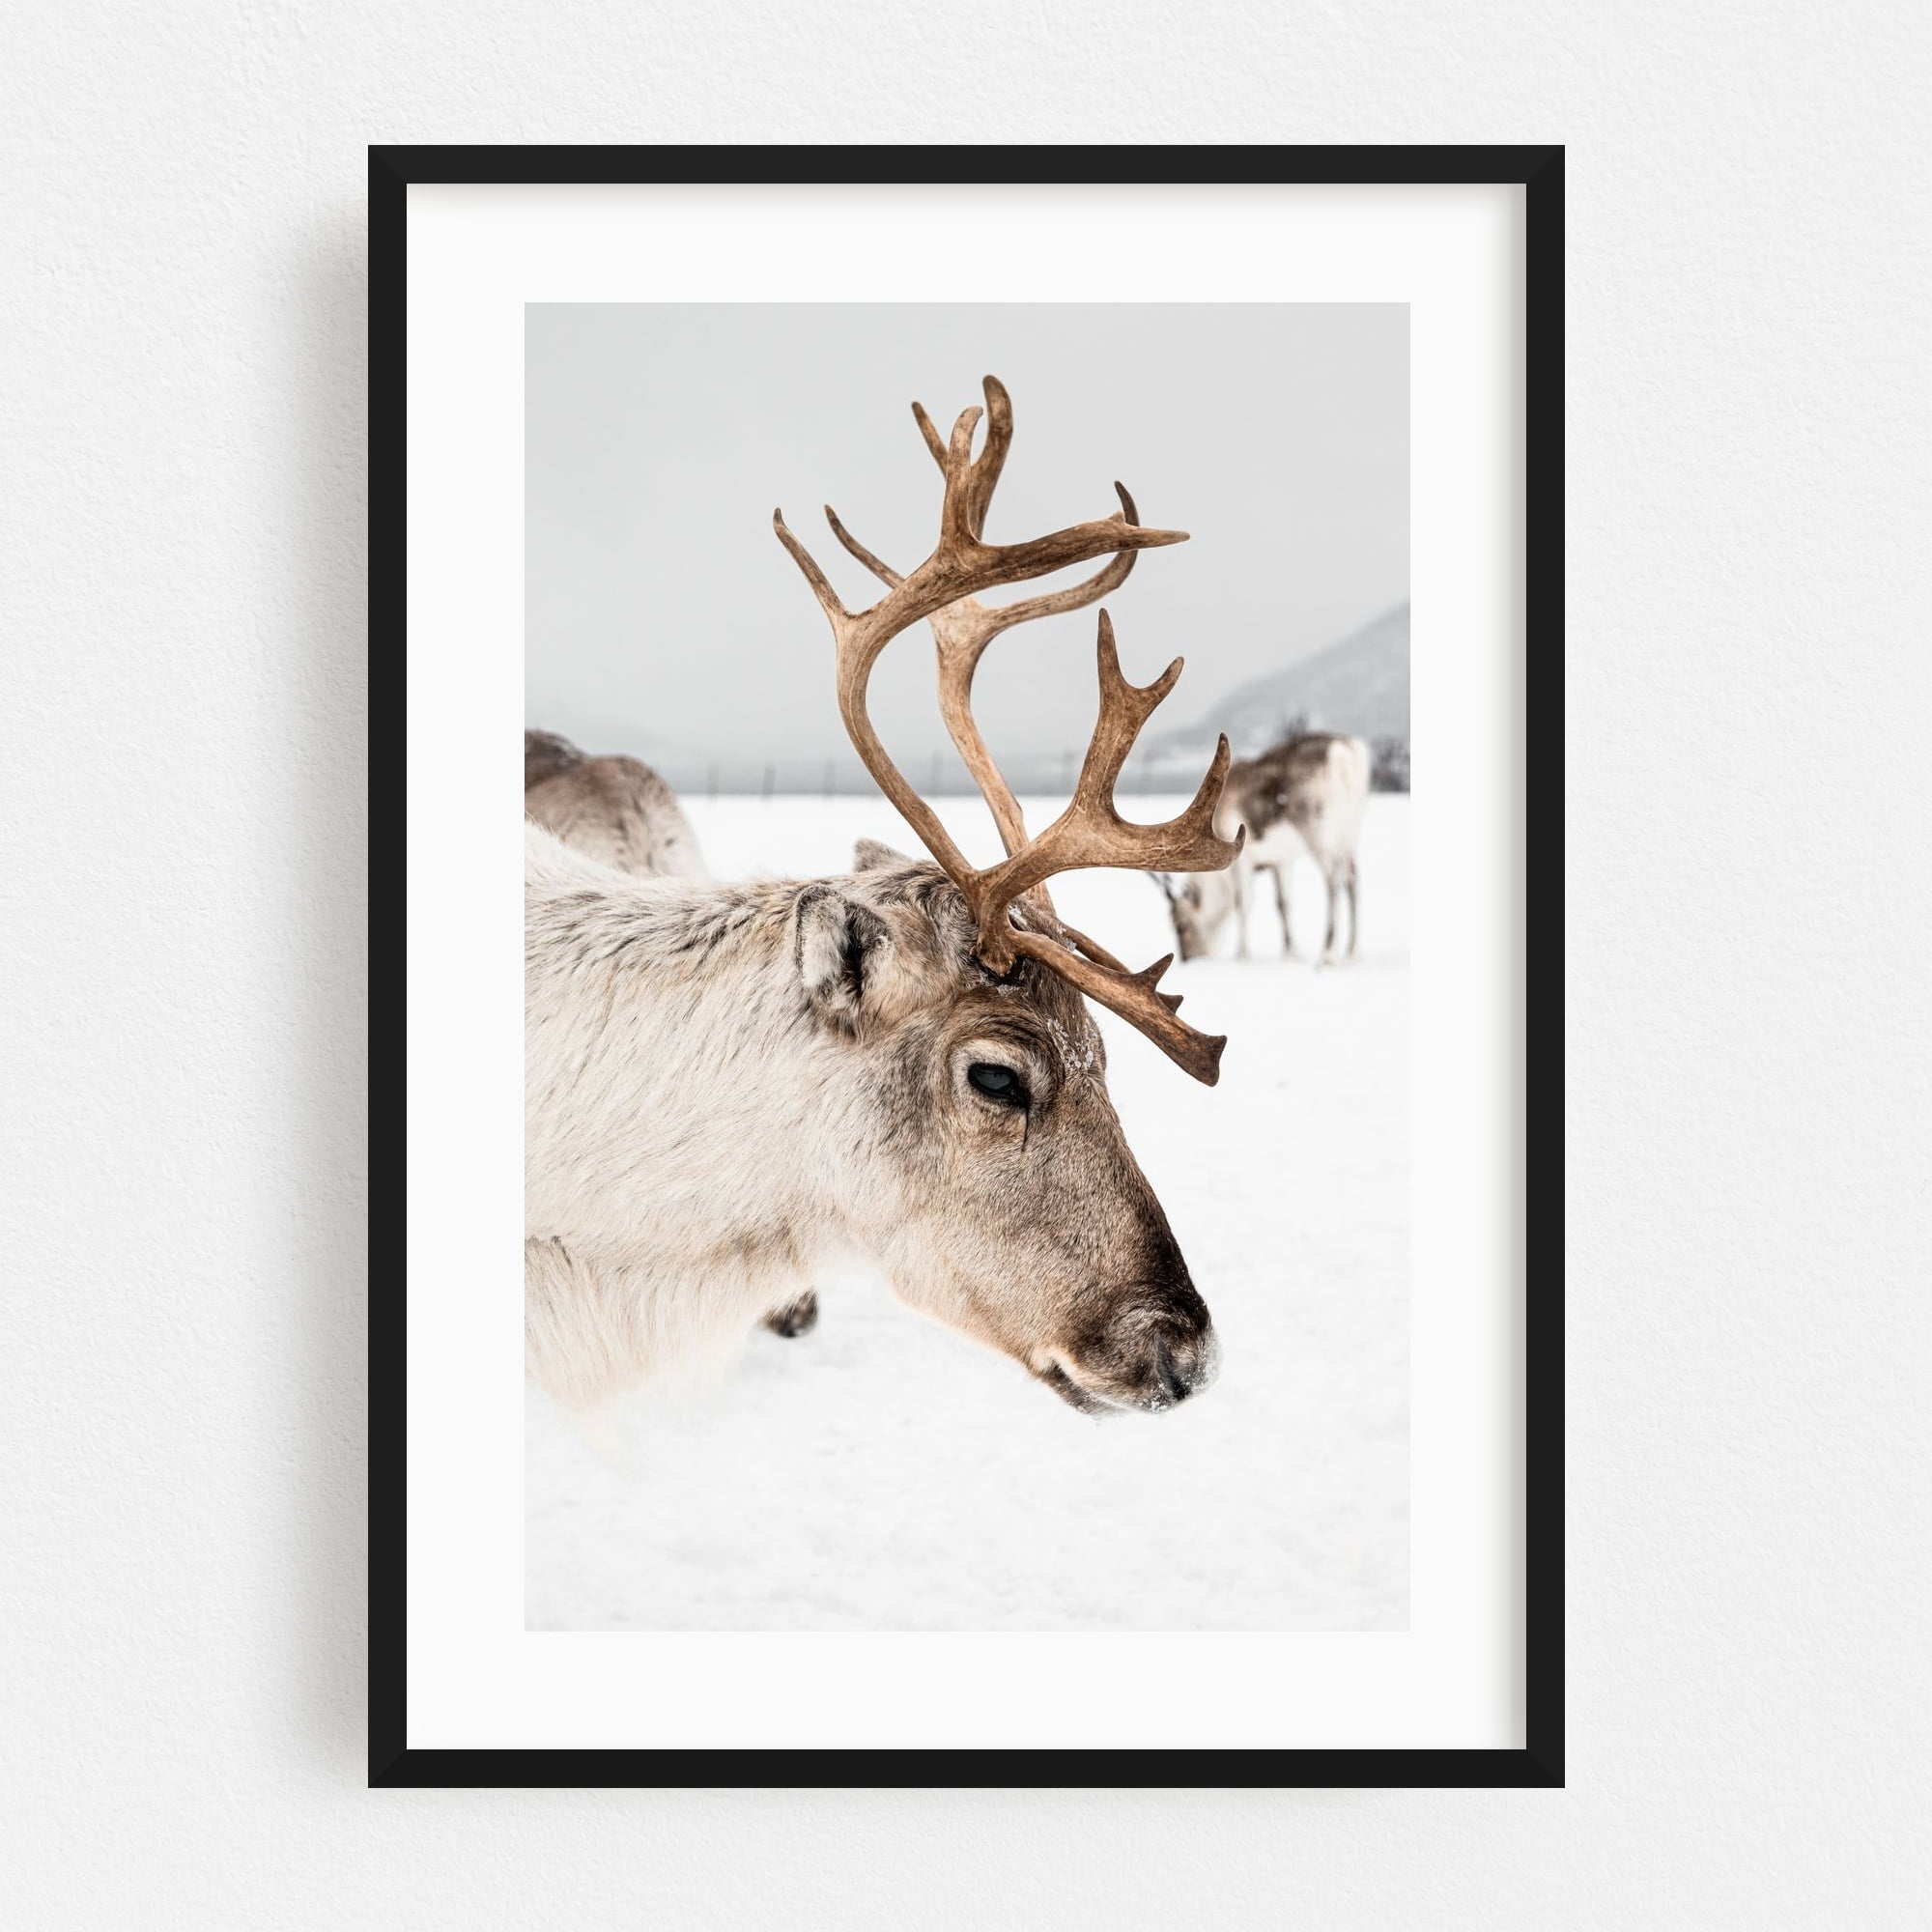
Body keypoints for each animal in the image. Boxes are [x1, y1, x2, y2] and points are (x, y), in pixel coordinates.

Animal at [1153, 732, 1370, 966]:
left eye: (1181, 925)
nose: (1189, 958)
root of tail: (1345, 753)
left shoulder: (1242, 860)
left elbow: (1243, 902)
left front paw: (1242, 955)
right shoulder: (1281, 860)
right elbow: (1283, 903)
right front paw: (1291, 953)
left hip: (1319, 832)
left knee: (1333, 881)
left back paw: (1328, 954)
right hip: (1350, 831)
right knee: (1353, 878)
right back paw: (1352, 952)